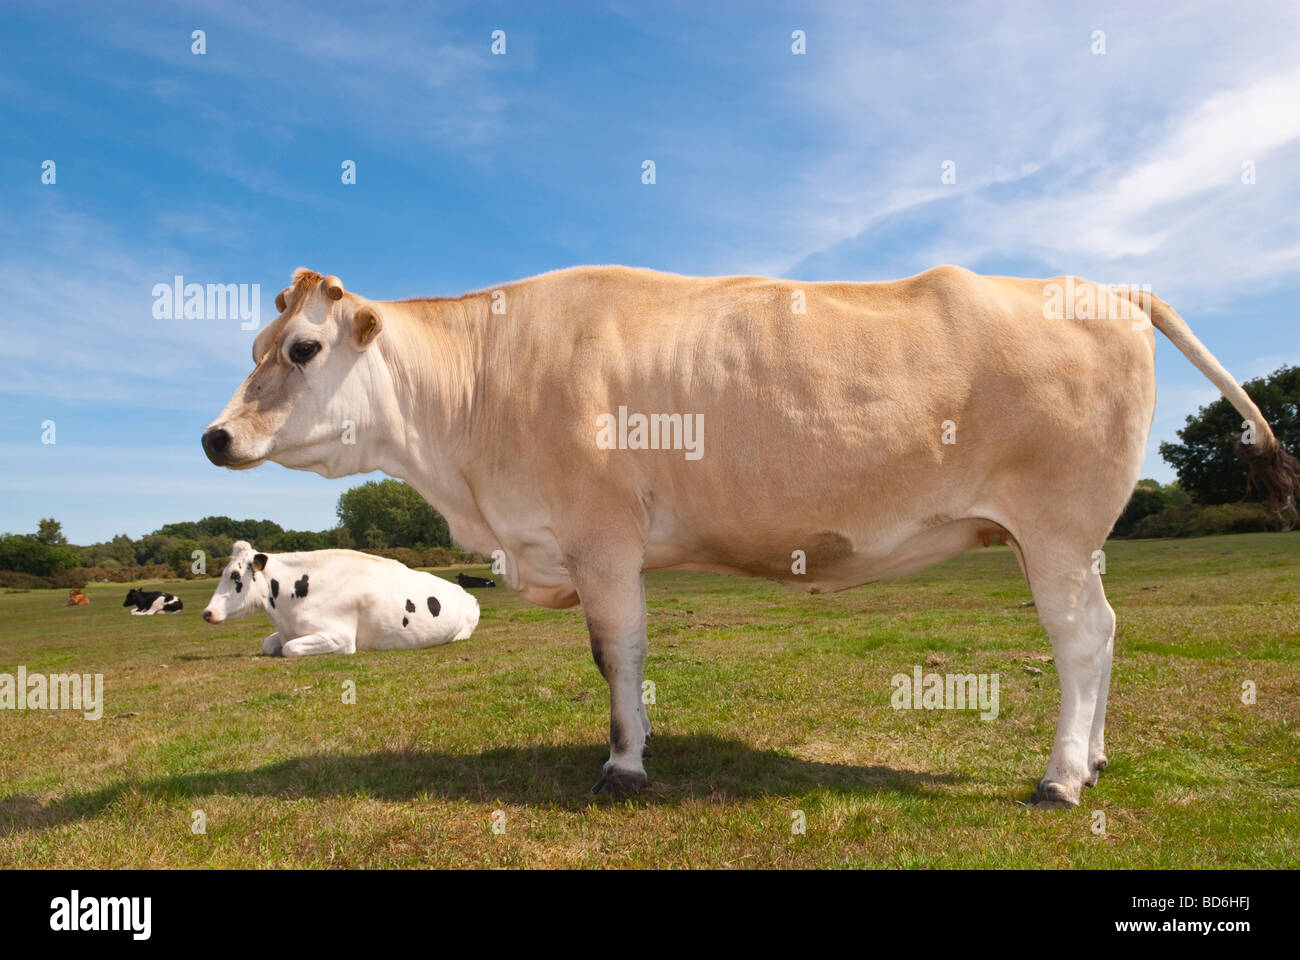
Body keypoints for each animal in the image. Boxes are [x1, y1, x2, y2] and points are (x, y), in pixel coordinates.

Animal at [201, 540, 480, 656]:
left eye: (235, 575)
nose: (207, 612)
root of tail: (466, 594)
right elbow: (268, 645)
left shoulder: (340, 637)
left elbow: (289, 649)